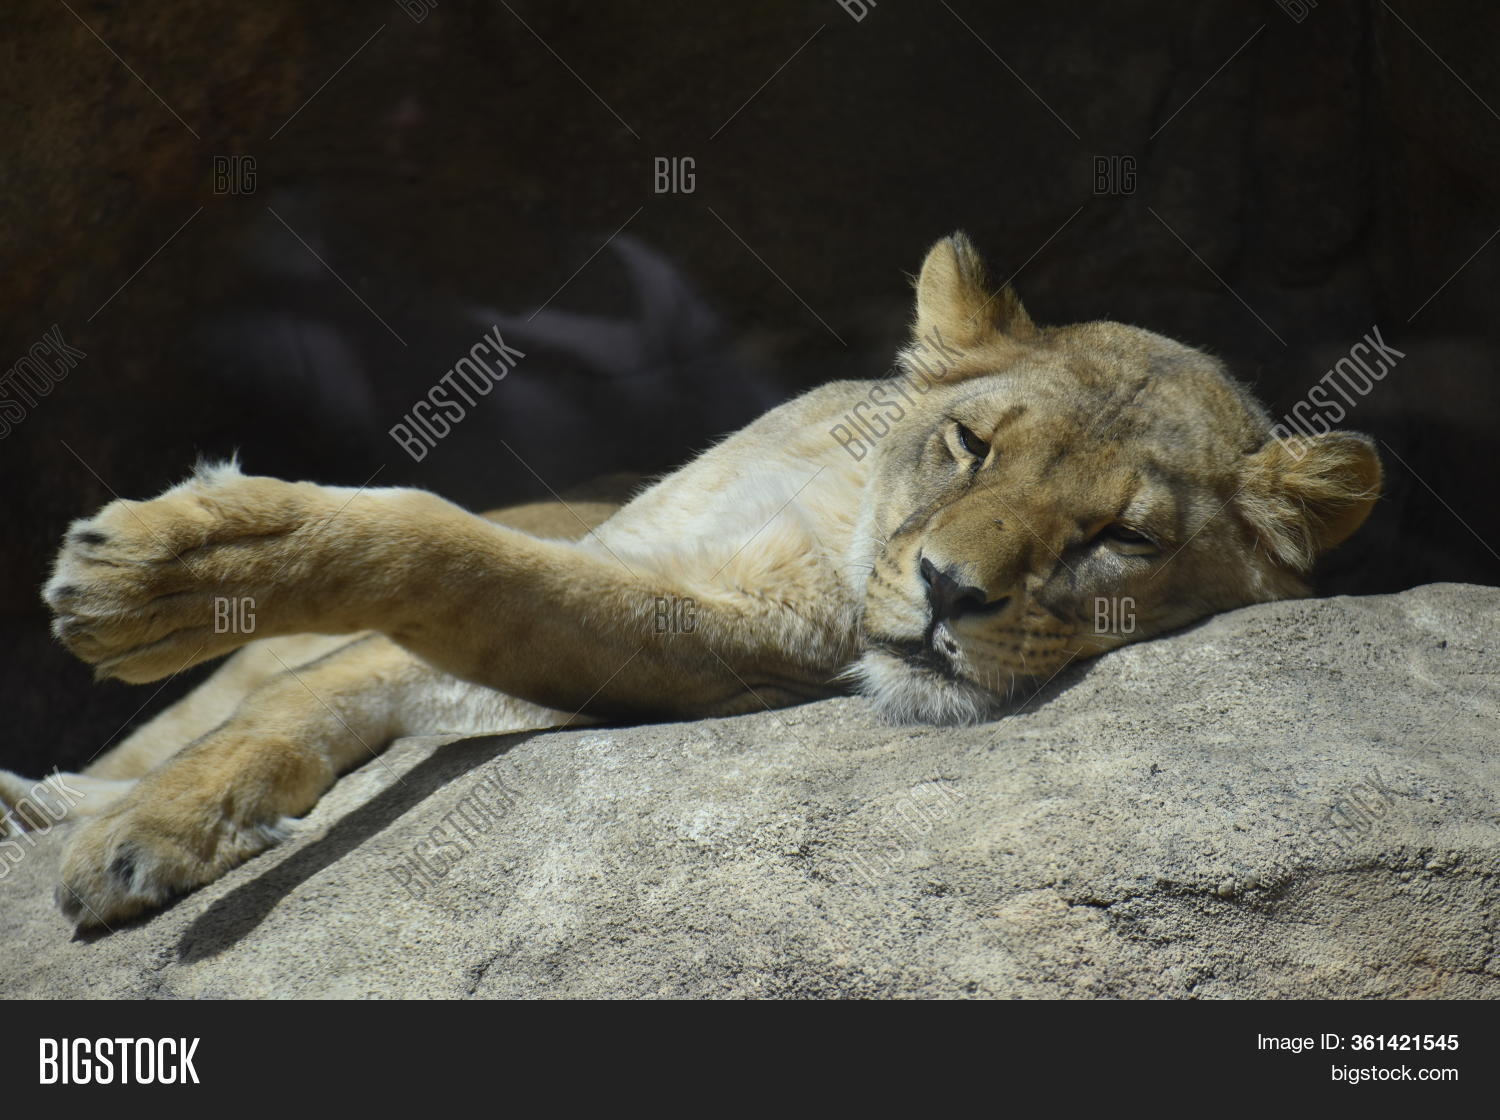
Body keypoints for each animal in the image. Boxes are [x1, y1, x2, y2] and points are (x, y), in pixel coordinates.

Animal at [4, 233, 1381, 928]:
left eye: (1125, 540)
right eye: (972, 442)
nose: (950, 591)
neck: (835, 511)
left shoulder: (708, 652)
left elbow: (446, 554)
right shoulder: (593, 563)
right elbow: (296, 694)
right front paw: (153, 778)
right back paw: (50, 794)